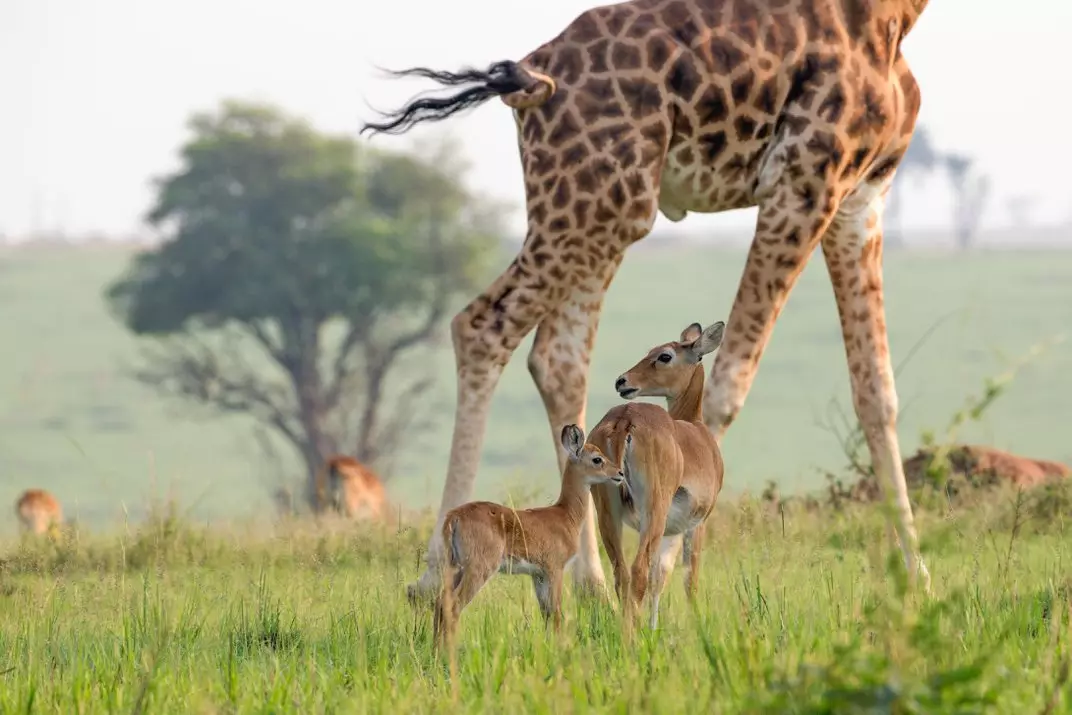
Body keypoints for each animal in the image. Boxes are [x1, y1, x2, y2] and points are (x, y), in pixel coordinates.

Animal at [433, 424, 626, 647]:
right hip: (478, 569)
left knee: (440, 602)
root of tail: (454, 516)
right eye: (597, 459)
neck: (565, 515)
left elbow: (546, 614)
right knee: (453, 606)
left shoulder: (538, 575)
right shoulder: (554, 569)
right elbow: (556, 613)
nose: (619, 473)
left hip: (455, 568)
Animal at [587, 321, 728, 630]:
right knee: (638, 572)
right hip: (654, 510)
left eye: (664, 355)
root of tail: (624, 419)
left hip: (608, 512)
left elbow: (658, 578)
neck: (694, 429)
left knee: (622, 574)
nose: (622, 381)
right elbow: (687, 579)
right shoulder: (695, 525)